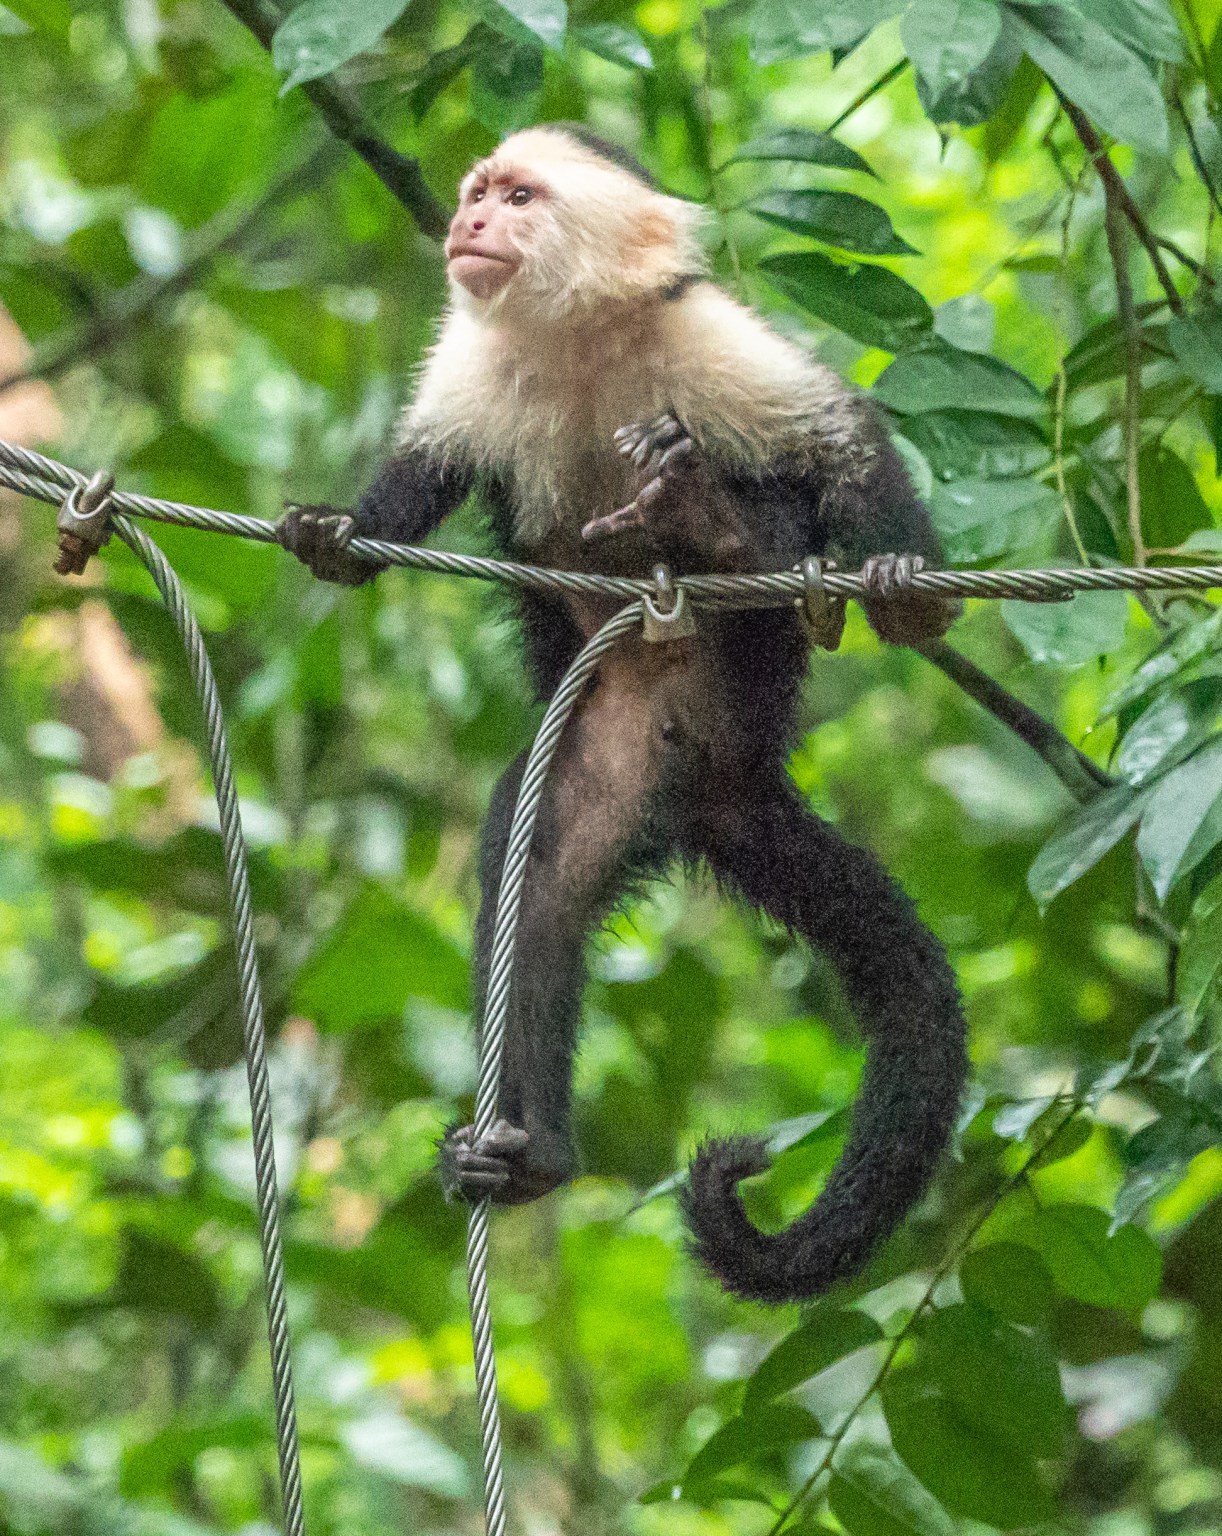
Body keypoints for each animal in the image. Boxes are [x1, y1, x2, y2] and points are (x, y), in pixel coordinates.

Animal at [279, 124, 967, 1305]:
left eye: (519, 198)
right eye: (476, 194)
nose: (466, 222)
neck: (579, 342)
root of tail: (730, 781)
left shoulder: (699, 332)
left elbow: (838, 438)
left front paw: (904, 584)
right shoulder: (472, 362)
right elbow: (421, 473)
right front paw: (340, 535)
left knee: (770, 491)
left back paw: (726, 533)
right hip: (617, 742)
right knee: (542, 876)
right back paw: (531, 1156)